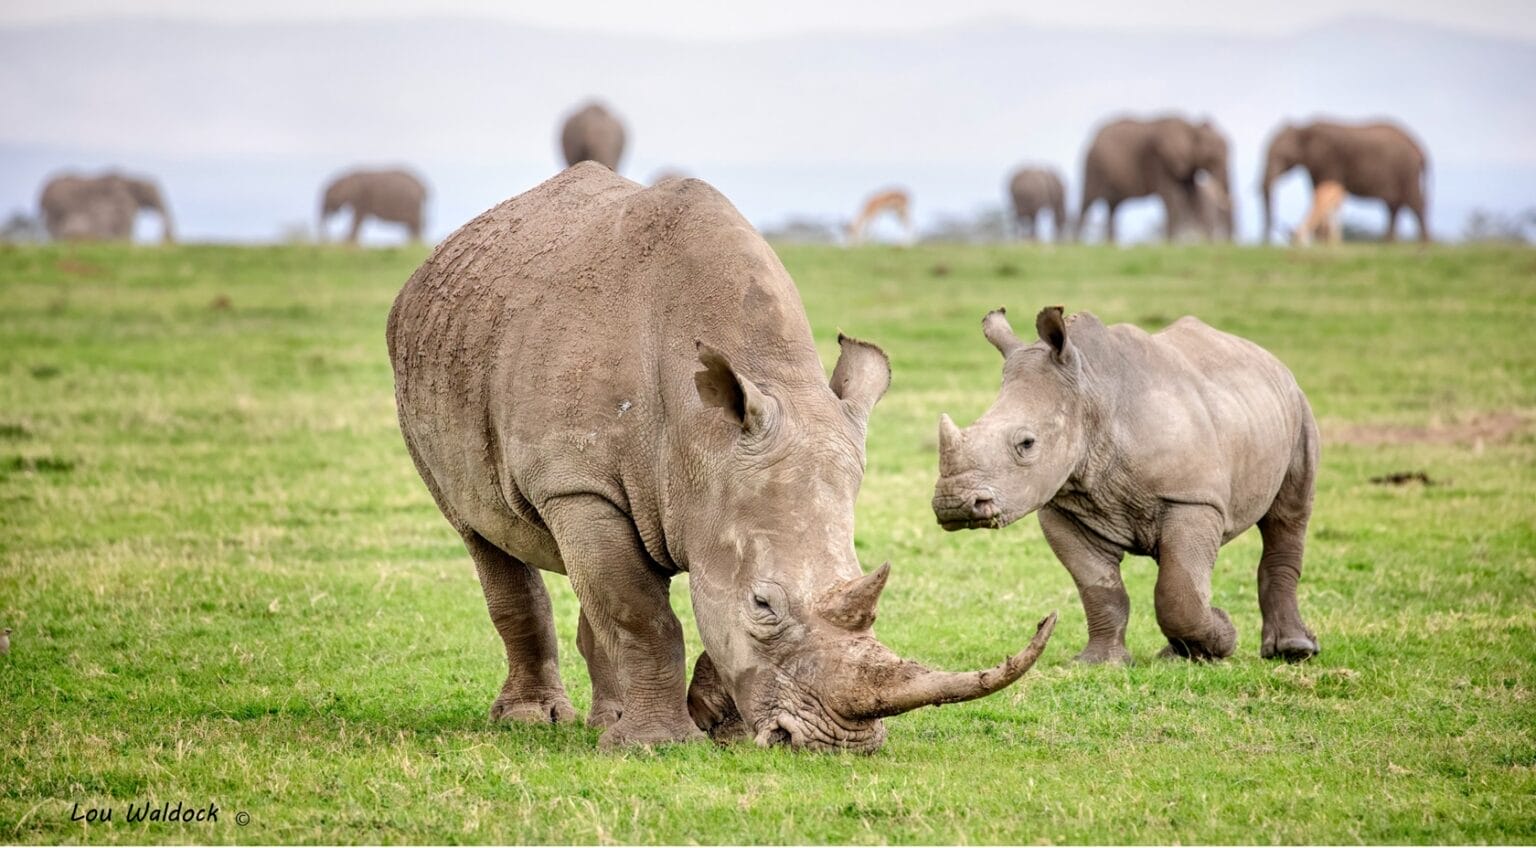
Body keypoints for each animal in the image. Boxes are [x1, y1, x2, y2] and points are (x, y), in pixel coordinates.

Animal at [386, 163, 1056, 751]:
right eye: (763, 604)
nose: (840, 744)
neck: (698, 437)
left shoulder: (719, 489)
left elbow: (691, 603)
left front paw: (720, 729)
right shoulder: (578, 483)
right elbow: (639, 612)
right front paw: (656, 746)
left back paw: (606, 722)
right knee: (481, 533)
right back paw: (534, 721)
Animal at [932, 306, 1319, 664]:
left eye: (1026, 444)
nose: (953, 504)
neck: (1091, 394)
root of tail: (1267, 357)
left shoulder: (1191, 498)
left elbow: (1178, 593)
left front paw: (1222, 635)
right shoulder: (1061, 507)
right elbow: (1099, 587)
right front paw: (1100, 662)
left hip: (1298, 407)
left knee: (1288, 517)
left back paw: (1292, 651)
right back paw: (1177, 655)